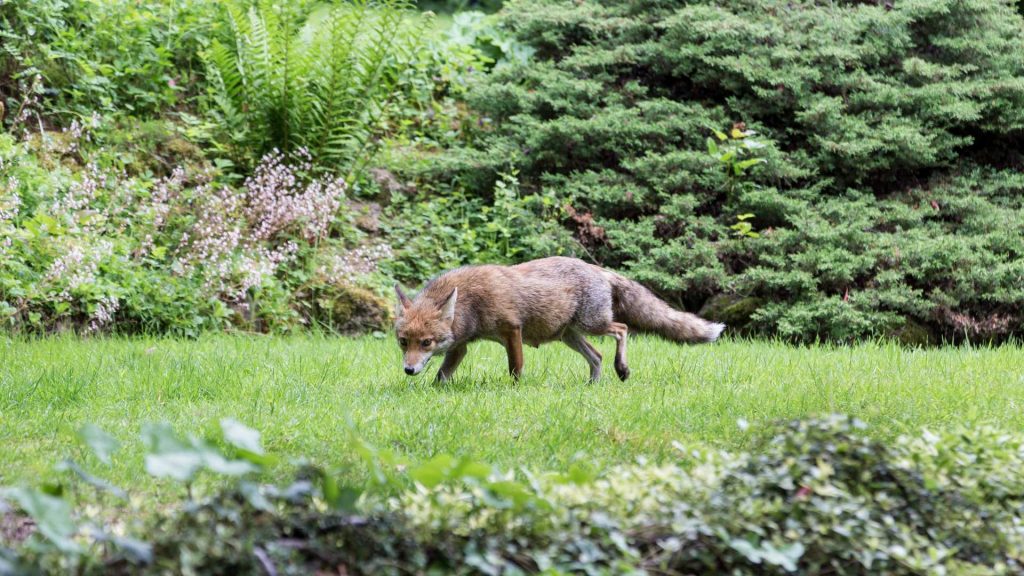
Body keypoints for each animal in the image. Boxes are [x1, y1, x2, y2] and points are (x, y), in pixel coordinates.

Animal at [393, 256, 725, 382]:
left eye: (426, 342)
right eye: (403, 342)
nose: (408, 370)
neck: (470, 304)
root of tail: (597, 267)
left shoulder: (512, 330)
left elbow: (515, 369)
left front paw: (514, 391)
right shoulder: (460, 346)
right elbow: (441, 376)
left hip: (594, 324)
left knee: (622, 329)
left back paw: (622, 368)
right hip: (570, 336)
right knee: (597, 355)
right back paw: (593, 385)